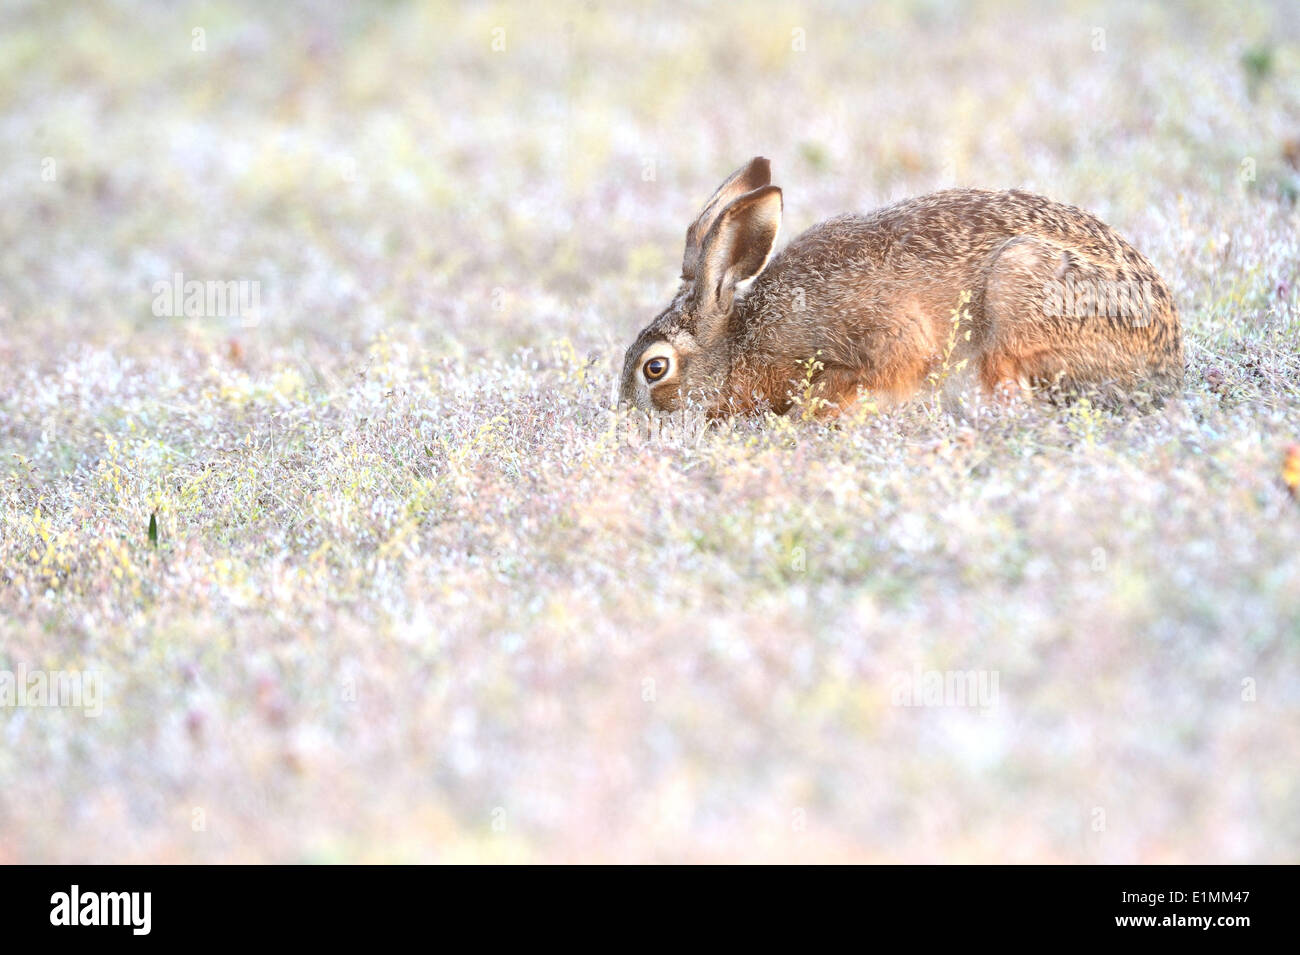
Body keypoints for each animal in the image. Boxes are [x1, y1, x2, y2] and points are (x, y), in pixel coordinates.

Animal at [618, 157, 1183, 417]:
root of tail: (1167, 359)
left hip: (1017, 298)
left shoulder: (883, 339)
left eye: (655, 368)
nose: (630, 420)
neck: (742, 343)